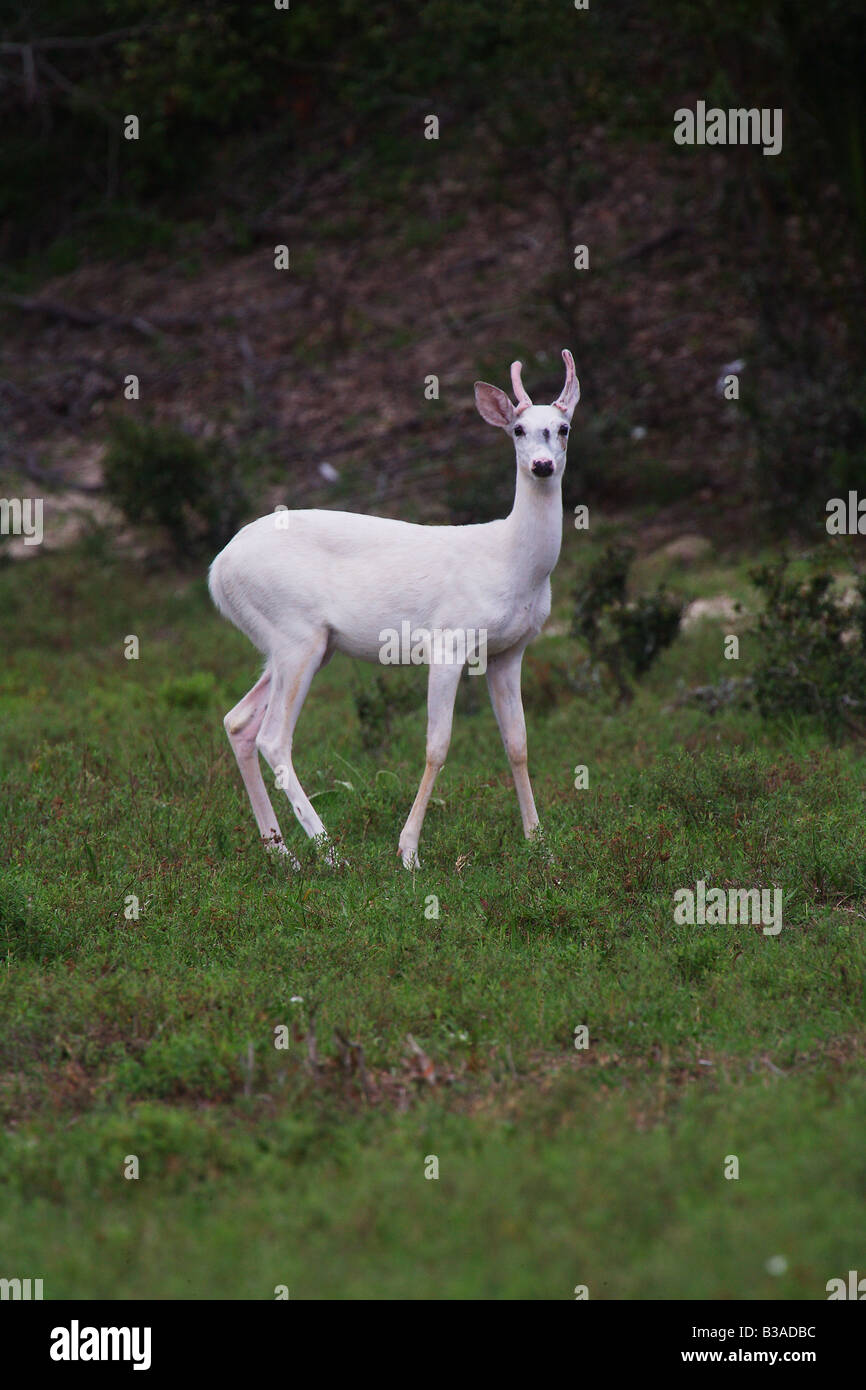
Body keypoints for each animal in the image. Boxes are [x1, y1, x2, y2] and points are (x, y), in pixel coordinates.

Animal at [208, 349, 580, 869]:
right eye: (518, 430)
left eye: (562, 428)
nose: (542, 466)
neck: (511, 561)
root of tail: (217, 570)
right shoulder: (448, 642)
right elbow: (437, 746)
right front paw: (408, 853)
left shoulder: (510, 651)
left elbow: (518, 744)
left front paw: (540, 846)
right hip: (295, 635)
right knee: (272, 737)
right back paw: (330, 854)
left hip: (299, 644)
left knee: (238, 722)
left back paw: (283, 854)